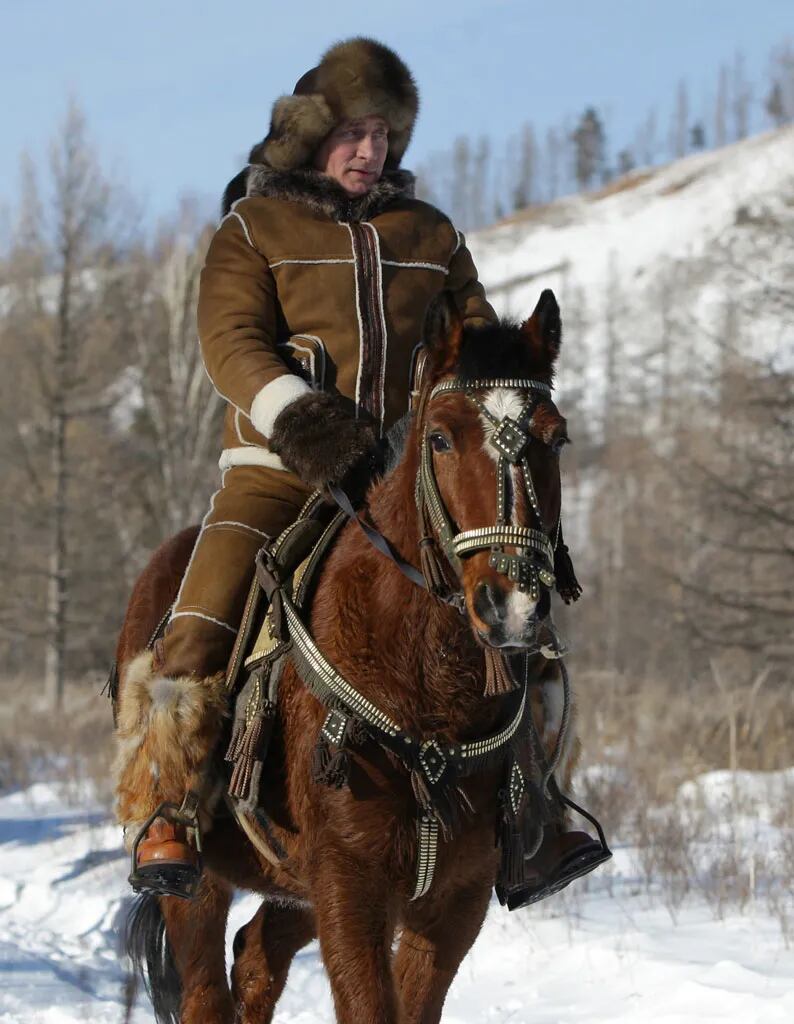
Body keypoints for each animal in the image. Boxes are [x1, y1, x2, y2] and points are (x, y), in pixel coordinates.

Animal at [118, 289, 579, 1024]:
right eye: (440, 437)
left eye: (555, 438)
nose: (511, 605)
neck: (424, 687)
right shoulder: (348, 886)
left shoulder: (454, 899)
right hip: (199, 882)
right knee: (205, 990)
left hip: (292, 885)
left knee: (256, 957)